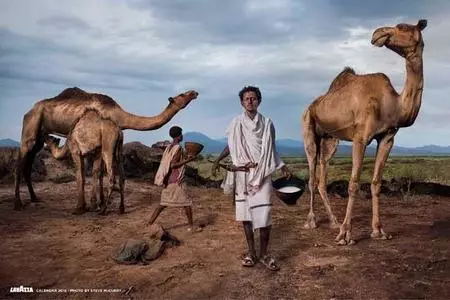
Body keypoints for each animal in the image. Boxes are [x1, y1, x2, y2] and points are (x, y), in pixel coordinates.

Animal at [14, 85, 198, 210]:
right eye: (182, 94)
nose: (194, 92)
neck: (119, 115)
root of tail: (29, 110)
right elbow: (96, 172)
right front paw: (94, 204)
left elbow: (98, 172)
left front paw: (98, 202)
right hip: (30, 127)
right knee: (21, 161)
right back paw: (18, 203)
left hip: (40, 136)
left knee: (28, 163)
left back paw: (34, 198)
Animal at [302, 18, 426, 245]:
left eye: (403, 27)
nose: (378, 33)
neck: (393, 104)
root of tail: (311, 105)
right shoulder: (361, 138)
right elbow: (353, 184)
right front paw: (345, 235)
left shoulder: (387, 138)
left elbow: (376, 184)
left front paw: (379, 231)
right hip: (309, 129)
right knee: (312, 175)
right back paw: (312, 221)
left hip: (330, 140)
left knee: (323, 174)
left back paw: (333, 221)